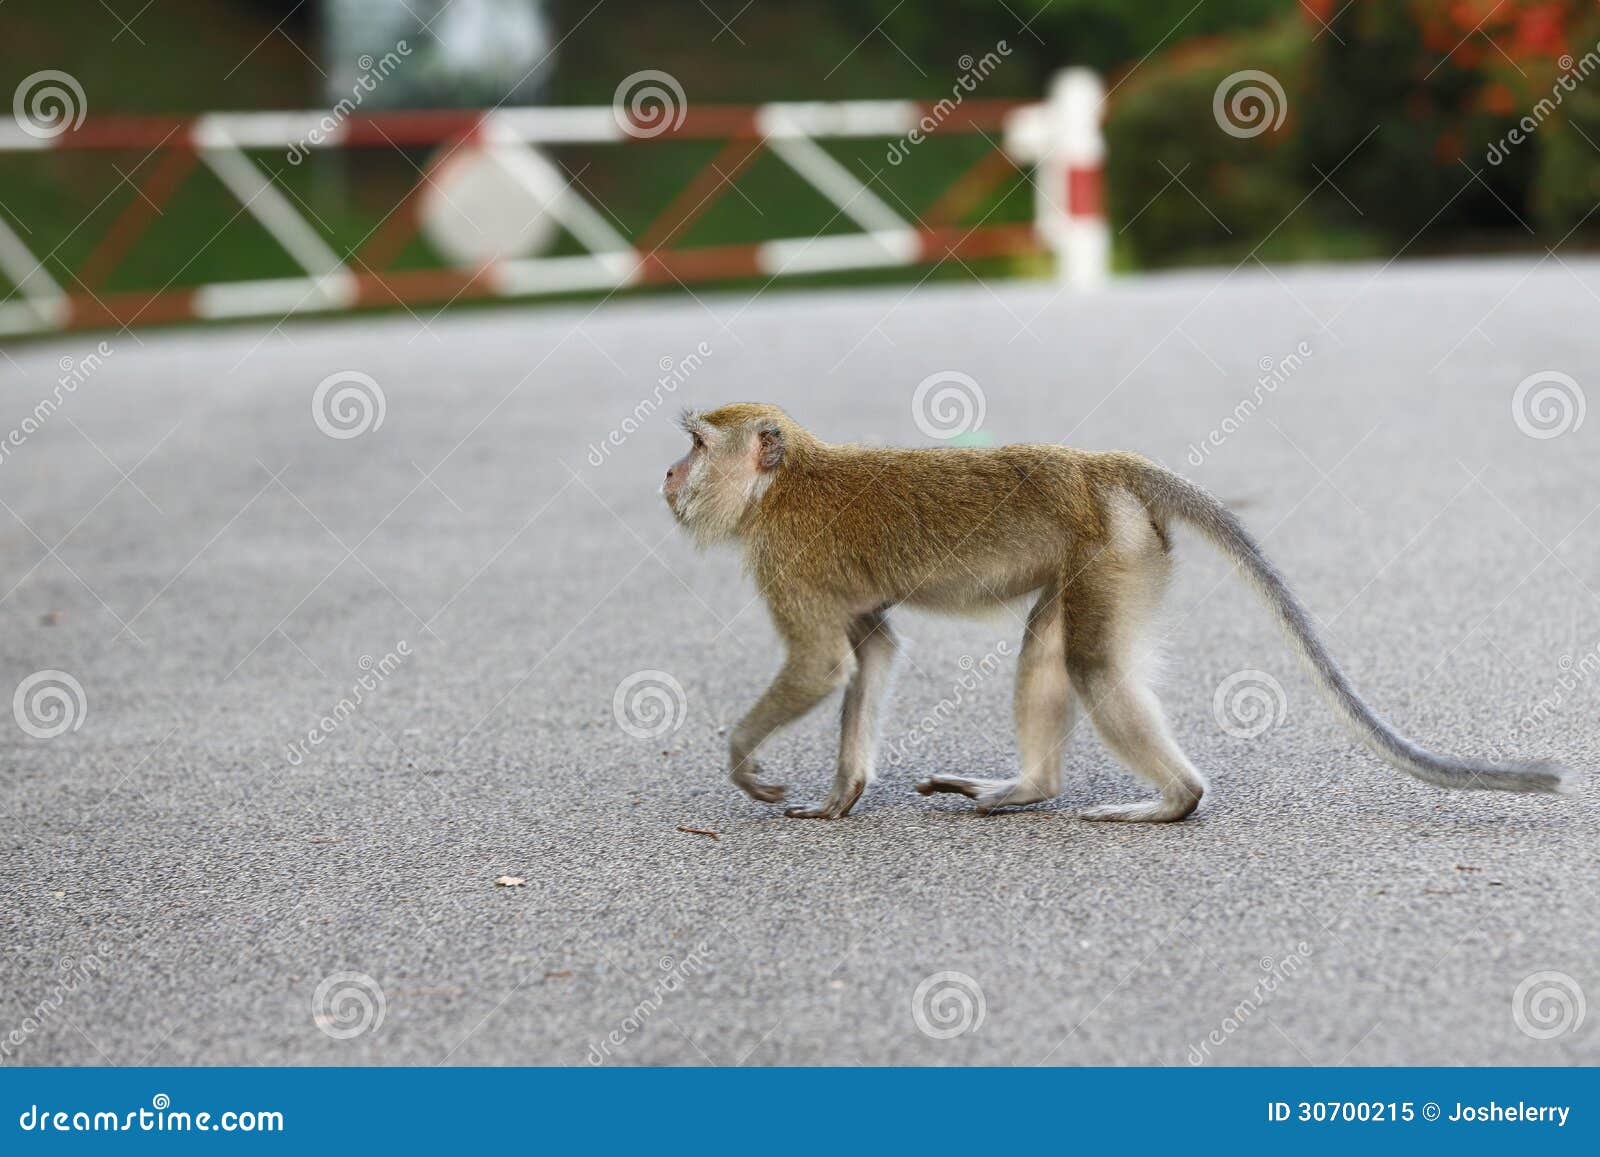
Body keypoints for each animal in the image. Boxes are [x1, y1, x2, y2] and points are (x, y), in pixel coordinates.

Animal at [661, 403, 1576, 821]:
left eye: (697, 445)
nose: (667, 475)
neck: (780, 487)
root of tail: (1101, 467)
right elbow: (872, 650)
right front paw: (841, 797)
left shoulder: (786, 564)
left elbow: (823, 664)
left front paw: (744, 760)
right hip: (1116, 556)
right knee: (1050, 640)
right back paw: (1027, 787)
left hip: (1115, 551)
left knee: (1091, 664)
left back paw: (1173, 799)